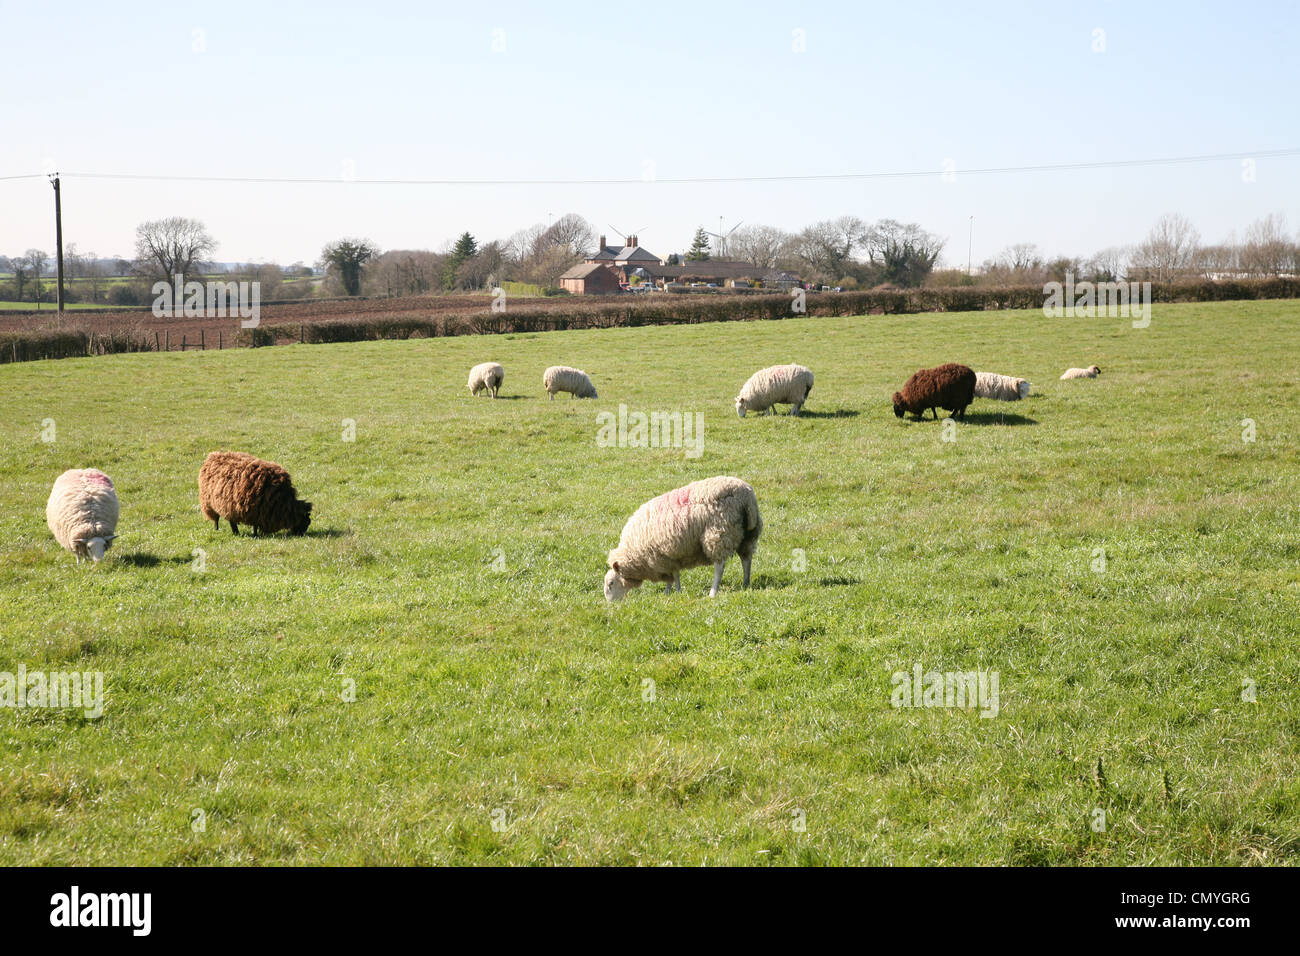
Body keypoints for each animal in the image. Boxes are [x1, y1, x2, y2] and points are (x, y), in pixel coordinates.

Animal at [604, 475, 762, 600]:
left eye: (611, 583)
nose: (611, 604)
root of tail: (745, 496)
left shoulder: (664, 557)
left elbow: (674, 576)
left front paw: (676, 591)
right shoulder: (669, 558)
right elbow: (672, 576)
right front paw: (669, 592)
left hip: (718, 534)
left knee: (720, 566)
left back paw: (713, 592)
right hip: (748, 533)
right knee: (746, 559)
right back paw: (746, 583)